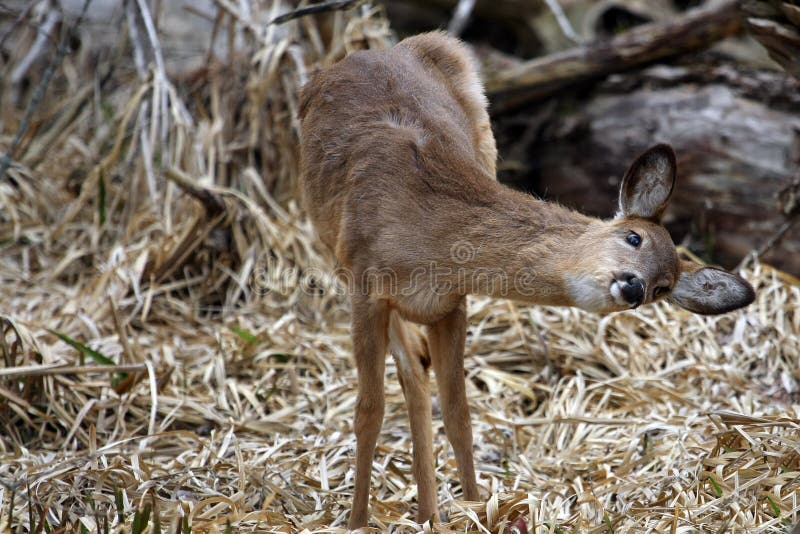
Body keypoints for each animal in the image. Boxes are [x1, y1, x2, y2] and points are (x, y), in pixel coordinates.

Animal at [297, 31, 755, 529]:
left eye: (663, 289)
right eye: (633, 237)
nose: (632, 286)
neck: (428, 236)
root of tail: (364, 52)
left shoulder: (451, 302)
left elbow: (458, 413)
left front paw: (475, 508)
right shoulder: (364, 287)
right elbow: (369, 412)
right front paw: (357, 522)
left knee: (416, 375)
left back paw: (429, 513)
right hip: (336, 250)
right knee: (404, 374)